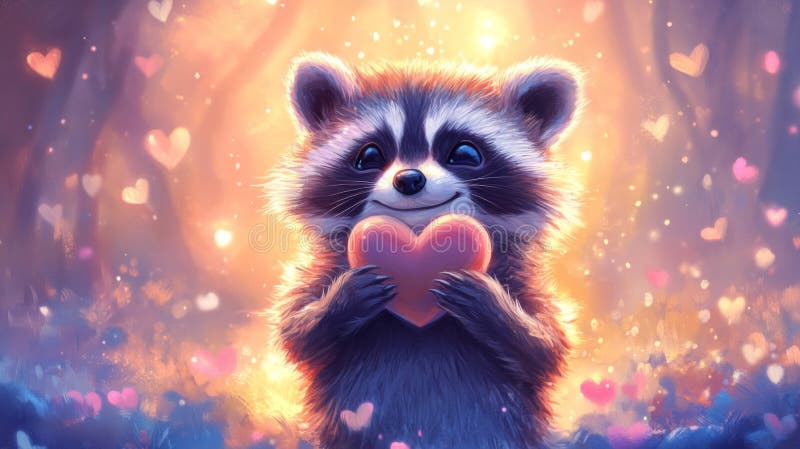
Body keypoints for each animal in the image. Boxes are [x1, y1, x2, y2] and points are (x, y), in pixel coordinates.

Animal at [267, 52, 582, 449]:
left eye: (463, 153)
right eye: (370, 155)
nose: (409, 179)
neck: (418, 231)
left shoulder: (520, 277)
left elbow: (545, 346)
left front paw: (490, 303)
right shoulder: (322, 270)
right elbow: (298, 332)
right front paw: (344, 298)